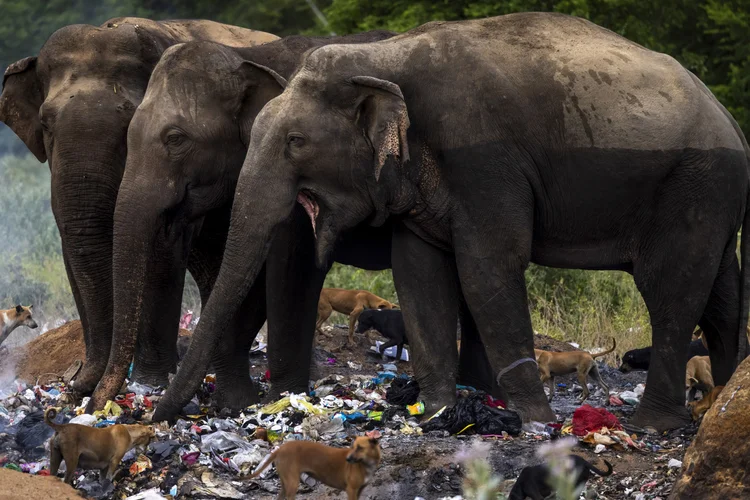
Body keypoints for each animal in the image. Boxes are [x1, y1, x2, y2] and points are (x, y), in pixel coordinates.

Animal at [0, 18, 277, 396]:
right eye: (45, 124)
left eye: (127, 126)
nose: (74, 383)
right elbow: (73, 245)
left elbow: (162, 248)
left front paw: (148, 382)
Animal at [156, 12, 750, 431]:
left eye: (296, 141)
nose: (159, 416)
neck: (383, 58)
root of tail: (731, 122)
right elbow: (419, 272)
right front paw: (439, 413)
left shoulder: (484, 159)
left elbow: (488, 267)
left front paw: (534, 421)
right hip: (713, 197)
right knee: (723, 295)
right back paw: (716, 408)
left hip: (695, 183)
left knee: (672, 291)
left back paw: (656, 424)